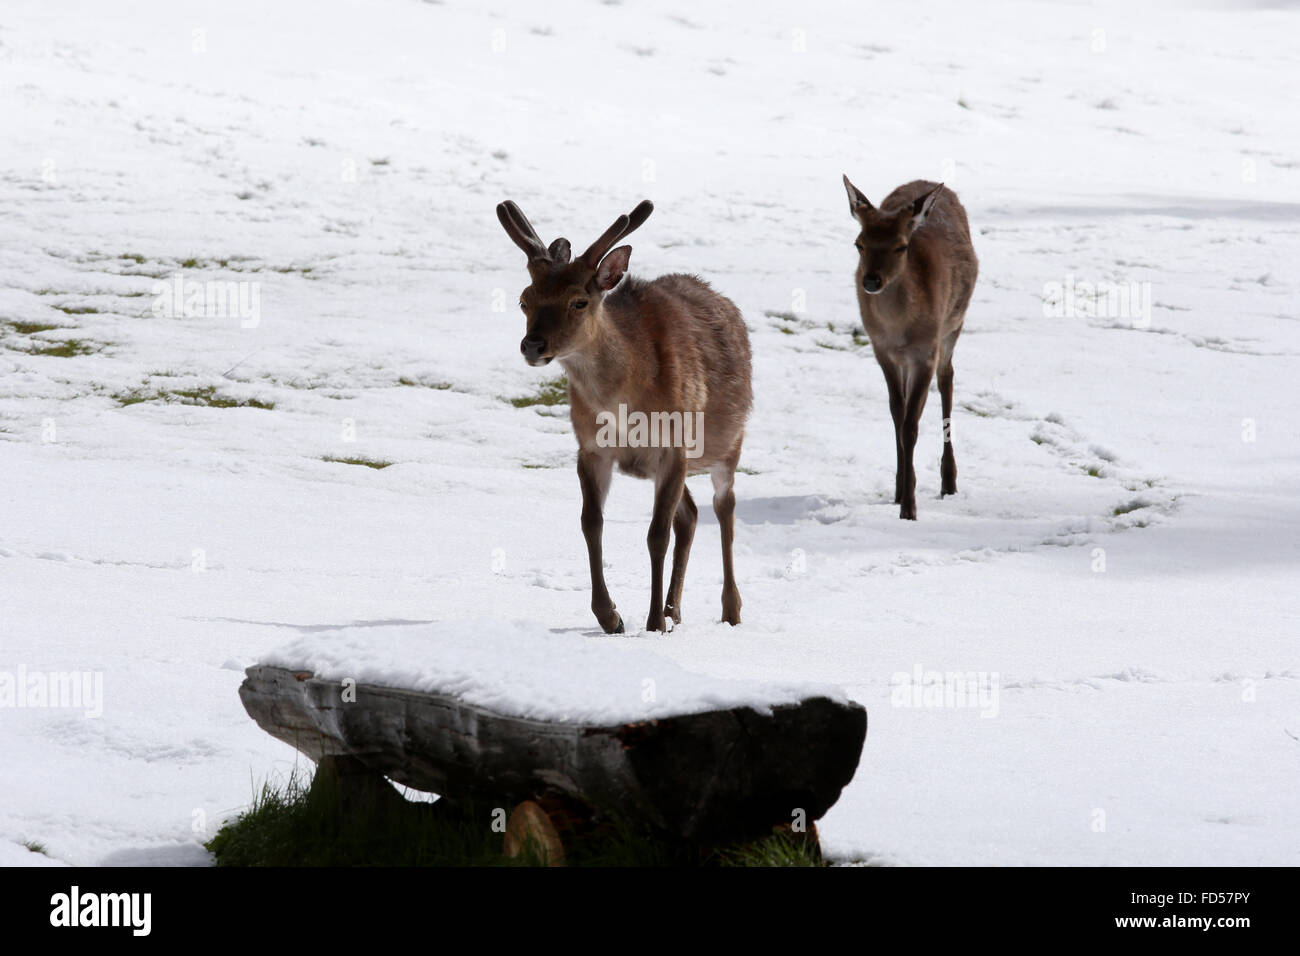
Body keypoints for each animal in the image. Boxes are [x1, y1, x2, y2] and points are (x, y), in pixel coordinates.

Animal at [496, 197, 752, 634]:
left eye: (579, 301)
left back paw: (730, 611)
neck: (625, 403)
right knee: (690, 515)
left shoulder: (674, 444)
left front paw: (651, 624)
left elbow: (656, 535)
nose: (533, 345)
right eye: (524, 299)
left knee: (725, 510)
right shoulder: (590, 449)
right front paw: (611, 616)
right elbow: (591, 522)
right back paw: (674, 610)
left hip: (728, 444)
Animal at [841, 176, 978, 520]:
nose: (871, 281)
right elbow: (897, 414)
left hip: (953, 327)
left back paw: (949, 482)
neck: (899, 329)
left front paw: (909, 509)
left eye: (901, 246)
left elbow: (911, 426)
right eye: (859, 243)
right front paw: (901, 491)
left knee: (948, 381)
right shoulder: (882, 350)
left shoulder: (925, 353)